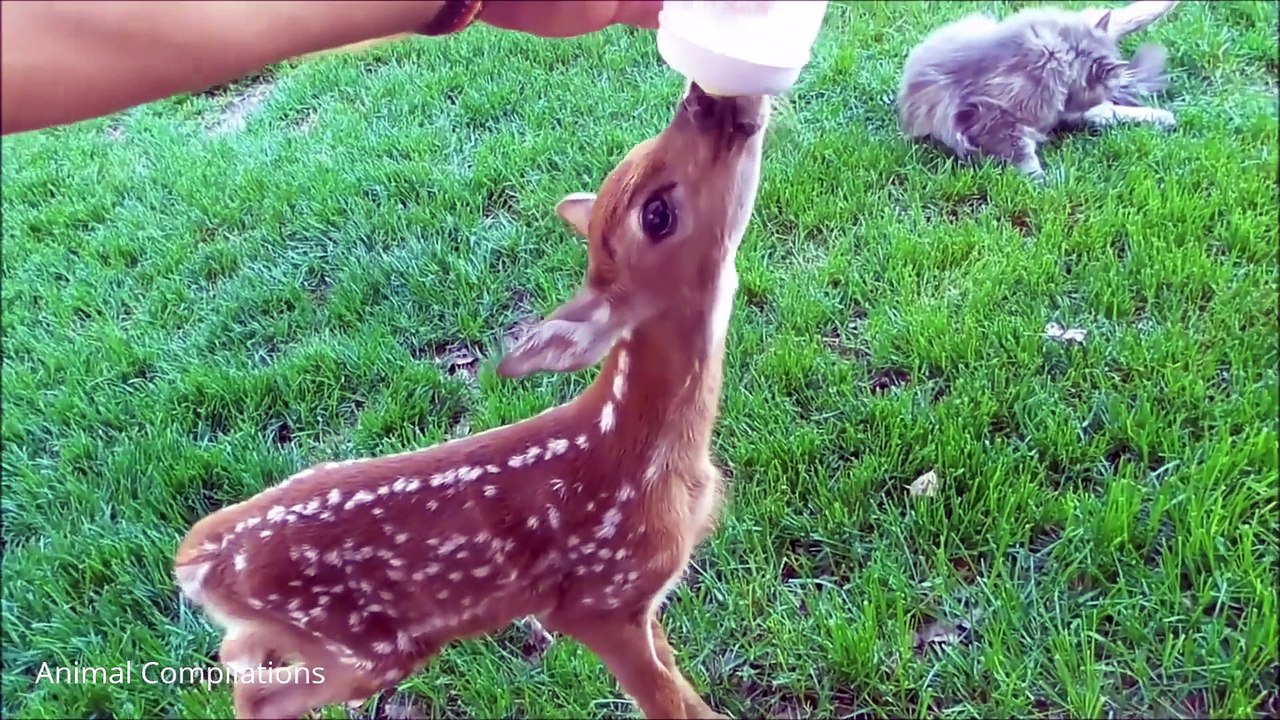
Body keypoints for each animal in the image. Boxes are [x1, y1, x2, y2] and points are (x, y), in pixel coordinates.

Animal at [173, 80, 772, 720]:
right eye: (656, 214)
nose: (706, 99)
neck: (648, 454)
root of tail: (196, 560)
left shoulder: (643, 598)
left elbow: (681, 685)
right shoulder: (597, 599)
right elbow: (664, 700)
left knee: (236, 658)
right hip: (367, 647)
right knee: (255, 693)